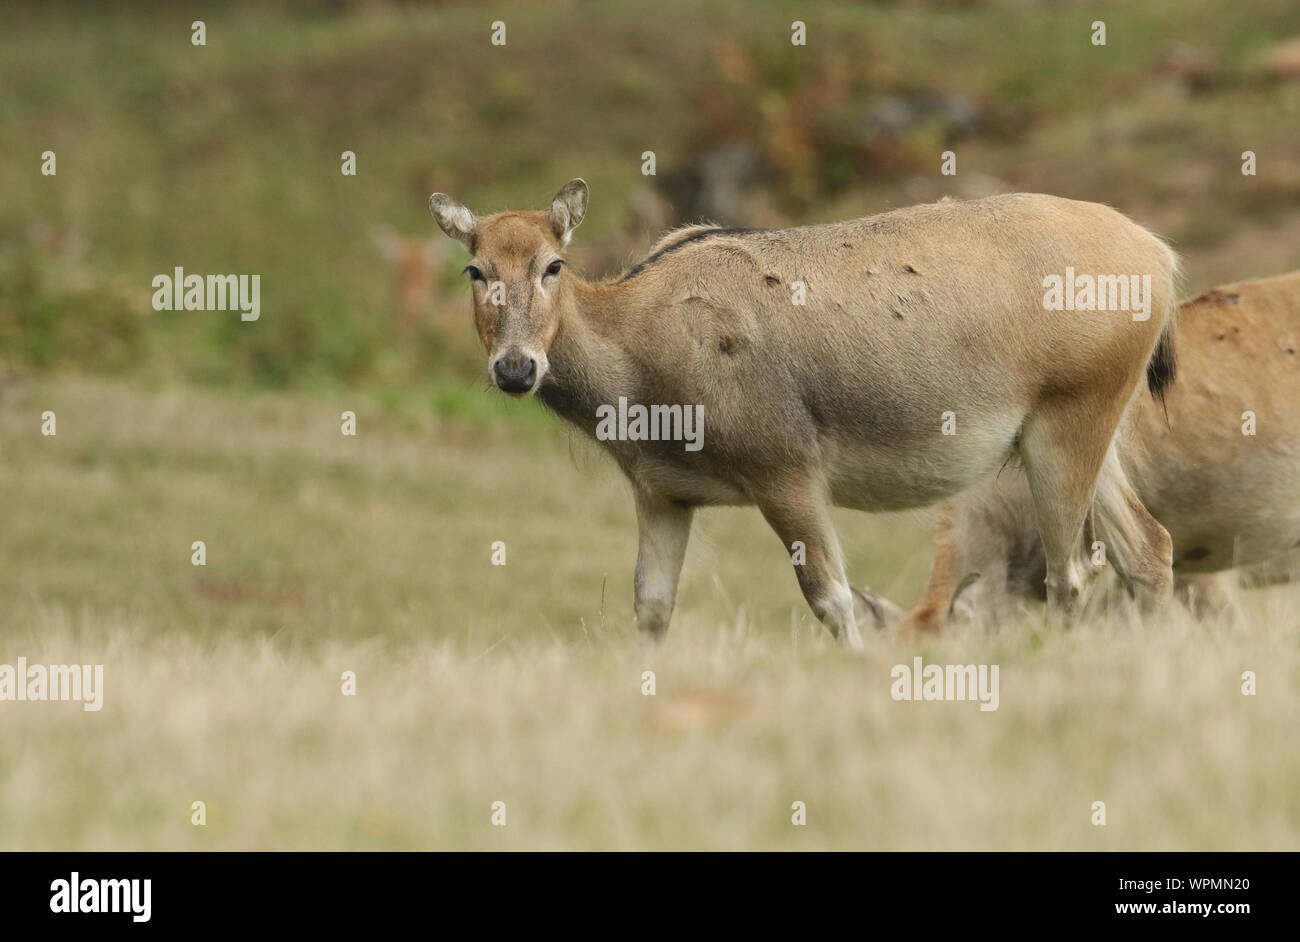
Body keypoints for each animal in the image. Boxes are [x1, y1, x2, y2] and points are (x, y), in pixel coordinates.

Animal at [428, 180, 1180, 647]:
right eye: (475, 269)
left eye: (553, 264)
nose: (517, 368)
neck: (640, 385)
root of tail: (1163, 257)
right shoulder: (661, 491)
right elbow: (650, 607)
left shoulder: (785, 462)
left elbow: (831, 596)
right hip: (1088, 422)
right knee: (1145, 547)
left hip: (1072, 410)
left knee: (1073, 570)